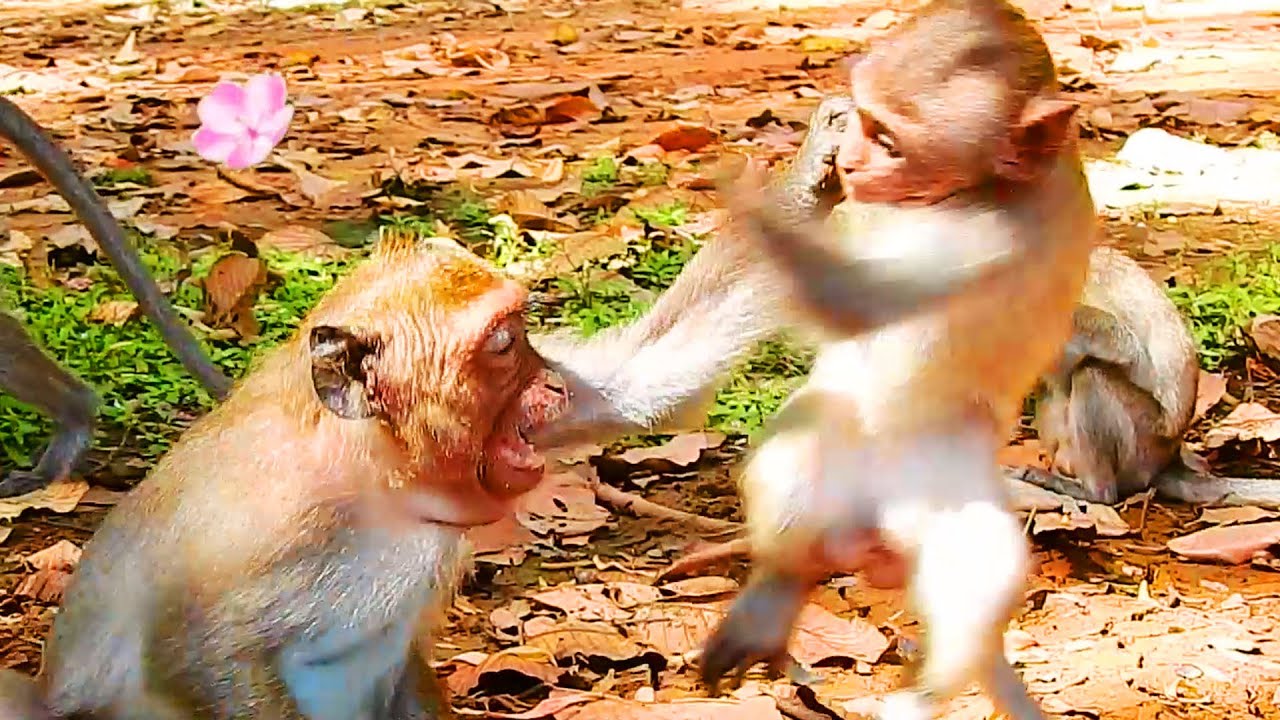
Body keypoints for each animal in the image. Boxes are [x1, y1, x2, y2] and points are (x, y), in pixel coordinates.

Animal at [694, 2, 1096, 719]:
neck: (970, 189)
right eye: (865, 117)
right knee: (806, 437)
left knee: (980, 561)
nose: (854, 160)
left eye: (889, 138)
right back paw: (780, 587)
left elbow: (854, 299)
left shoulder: (1000, 228)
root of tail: (882, 534)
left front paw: (742, 190)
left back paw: (923, 694)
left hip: (950, 483)